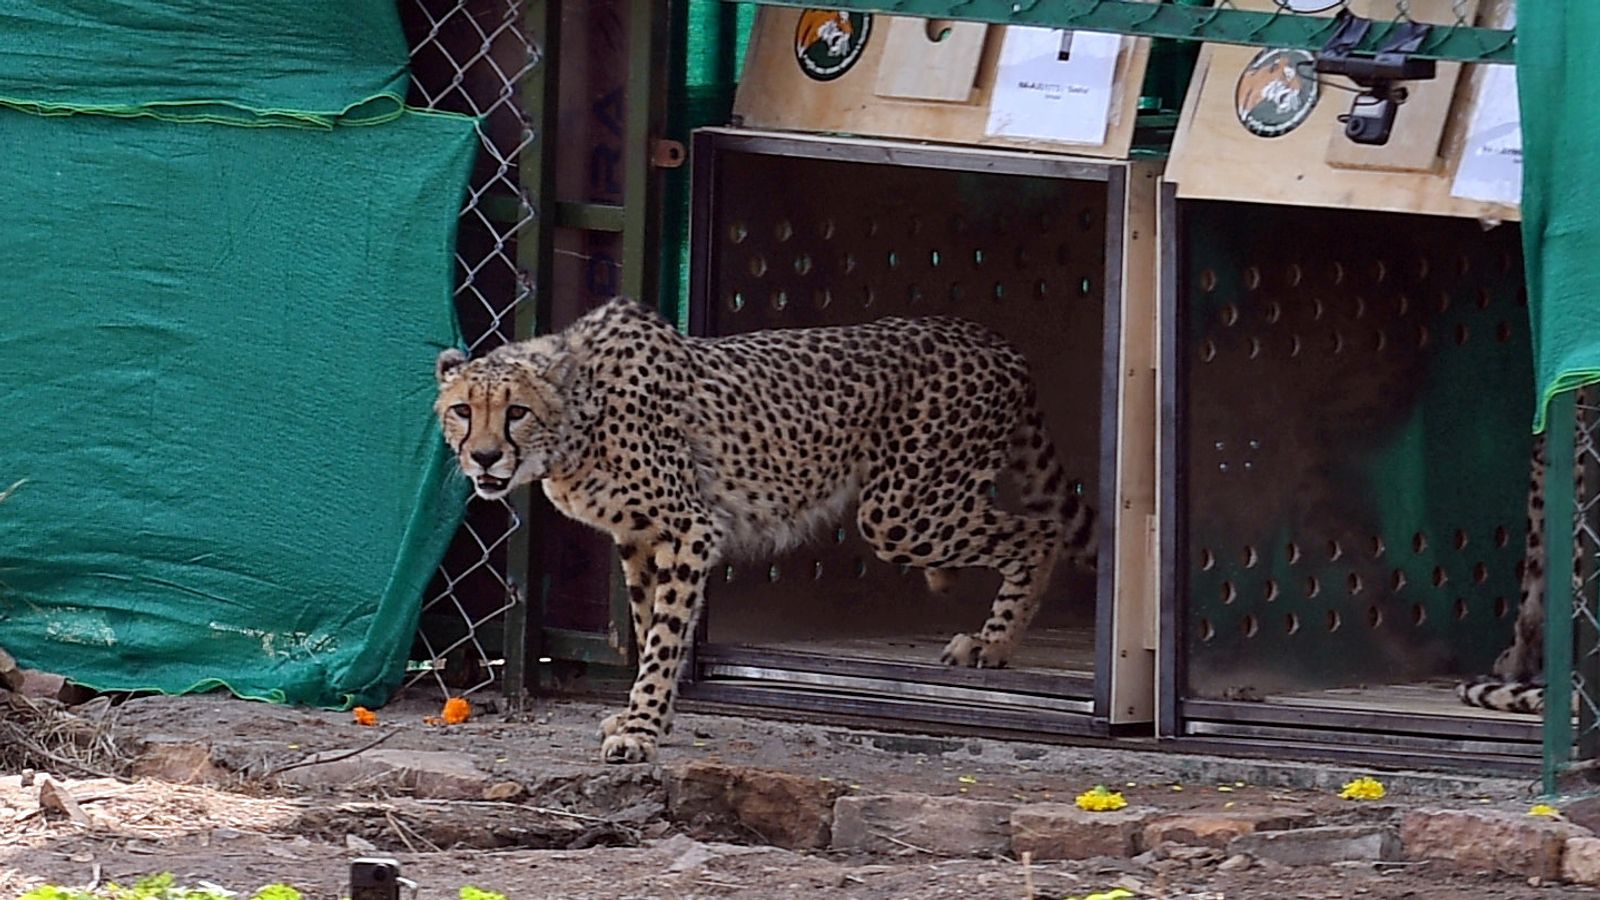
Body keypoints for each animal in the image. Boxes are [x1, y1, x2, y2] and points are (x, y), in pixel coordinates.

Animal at [434, 297, 1097, 763]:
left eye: (516, 412)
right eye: (462, 410)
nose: (485, 458)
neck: (578, 419)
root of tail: (992, 339)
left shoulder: (688, 529)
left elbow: (665, 636)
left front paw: (642, 730)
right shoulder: (641, 539)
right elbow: (651, 627)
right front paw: (647, 718)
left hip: (901, 512)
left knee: (1040, 530)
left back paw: (994, 643)